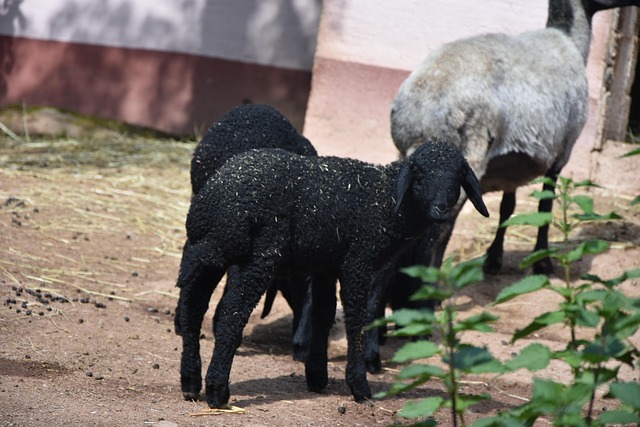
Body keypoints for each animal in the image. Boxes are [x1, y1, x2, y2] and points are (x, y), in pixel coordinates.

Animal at [175, 140, 489, 407]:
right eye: (420, 176)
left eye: (457, 178)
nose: (441, 209)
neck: (386, 201)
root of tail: (215, 199)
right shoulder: (357, 263)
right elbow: (356, 321)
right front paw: (359, 386)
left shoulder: (325, 266)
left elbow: (323, 316)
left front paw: (316, 377)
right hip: (256, 259)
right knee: (231, 316)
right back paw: (217, 391)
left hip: (207, 255)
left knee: (192, 311)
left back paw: (190, 383)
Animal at [390, 0, 640, 275]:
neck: (568, 38)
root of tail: (420, 112)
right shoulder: (562, 150)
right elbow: (545, 205)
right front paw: (542, 261)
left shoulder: (511, 167)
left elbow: (506, 208)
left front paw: (493, 259)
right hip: (465, 157)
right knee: (438, 231)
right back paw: (432, 285)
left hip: (409, 158)